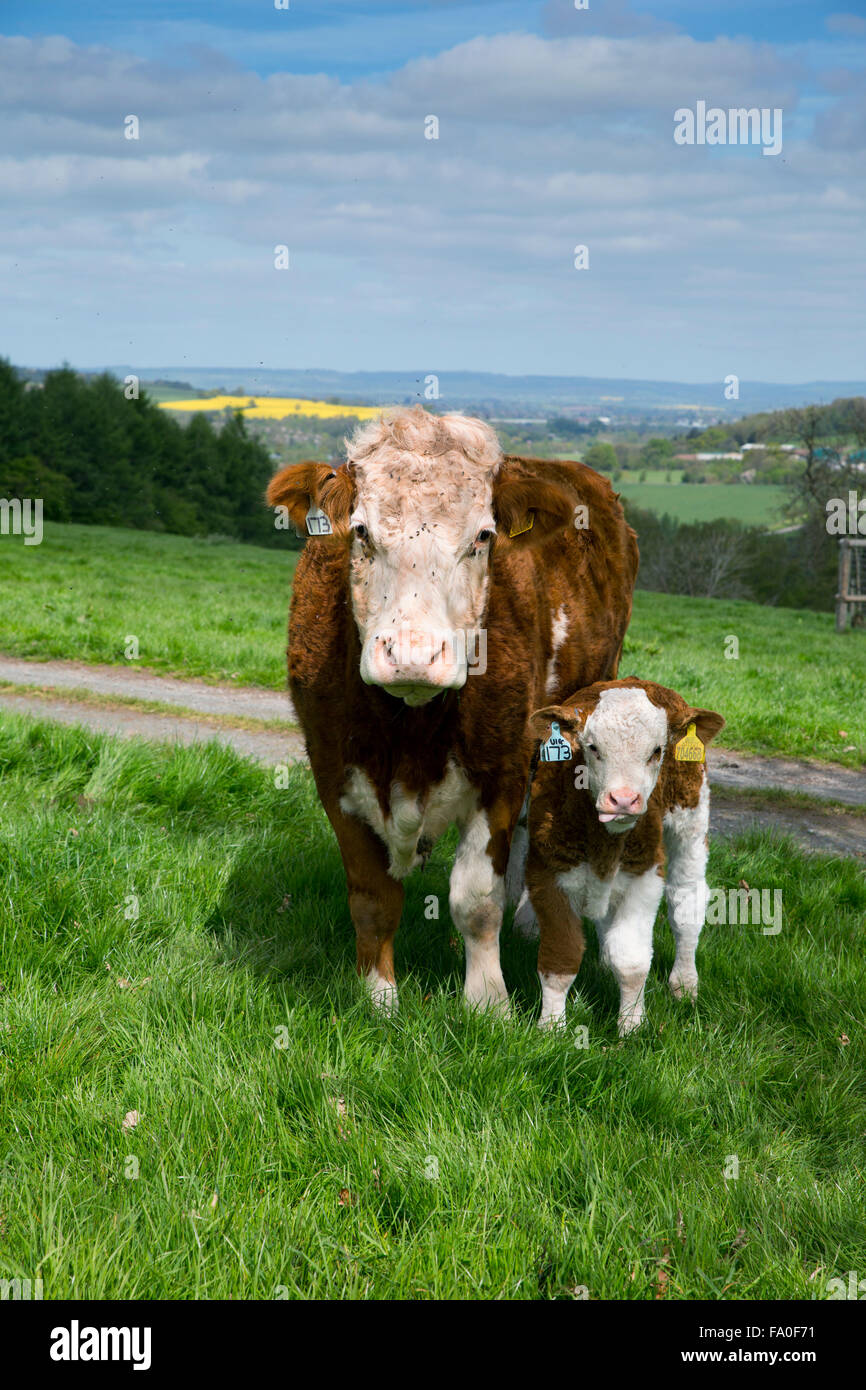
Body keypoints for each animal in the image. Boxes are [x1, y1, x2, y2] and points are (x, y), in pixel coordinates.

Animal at [266, 407, 639, 1014]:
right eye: (361, 531)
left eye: (483, 537)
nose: (414, 655)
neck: (408, 732)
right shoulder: (333, 772)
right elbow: (373, 900)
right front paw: (379, 1000)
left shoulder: (501, 773)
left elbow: (477, 901)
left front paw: (488, 1004)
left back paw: (530, 919)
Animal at [525, 678, 725, 1035]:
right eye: (592, 748)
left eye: (656, 751)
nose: (623, 800)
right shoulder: (545, 869)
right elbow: (560, 957)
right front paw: (551, 1028)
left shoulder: (645, 872)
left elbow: (632, 961)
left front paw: (631, 1027)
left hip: (691, 816)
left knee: (686, 901)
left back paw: (684, 983)